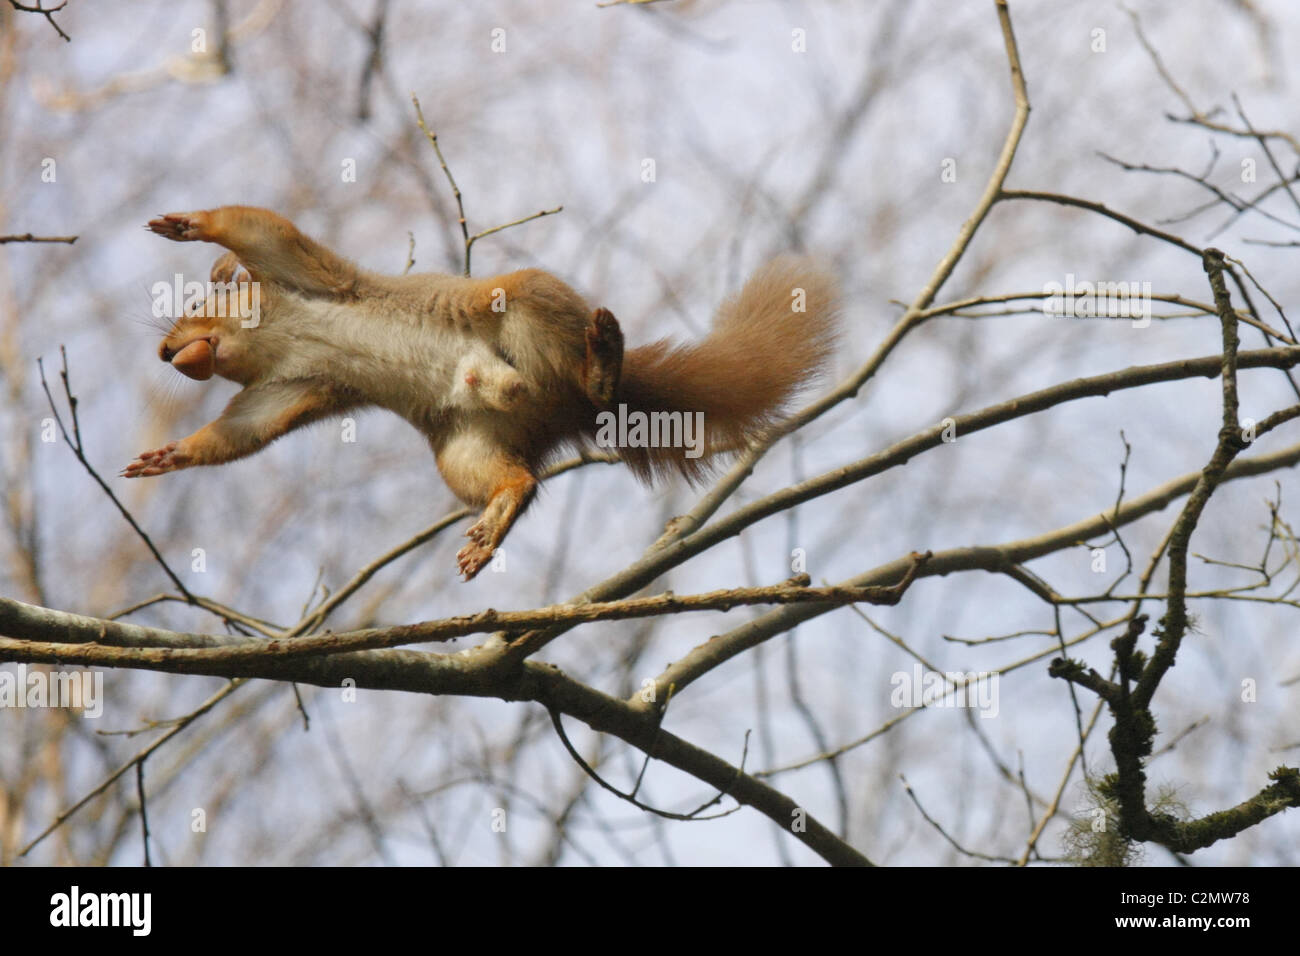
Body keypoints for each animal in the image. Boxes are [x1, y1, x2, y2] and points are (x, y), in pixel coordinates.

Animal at [125, 206, 838, 579]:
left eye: (197, 304)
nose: (163, 352)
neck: (278, 335)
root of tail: (560, 408)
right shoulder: (296, 385)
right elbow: (243, 429)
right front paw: (172, 455)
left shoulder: (305, 275)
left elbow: (251, 225)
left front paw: (188, 225)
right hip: (466, 449)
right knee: (518, 480)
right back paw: (497, 517)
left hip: (525, 304)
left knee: (586, 376)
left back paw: (603, 362)